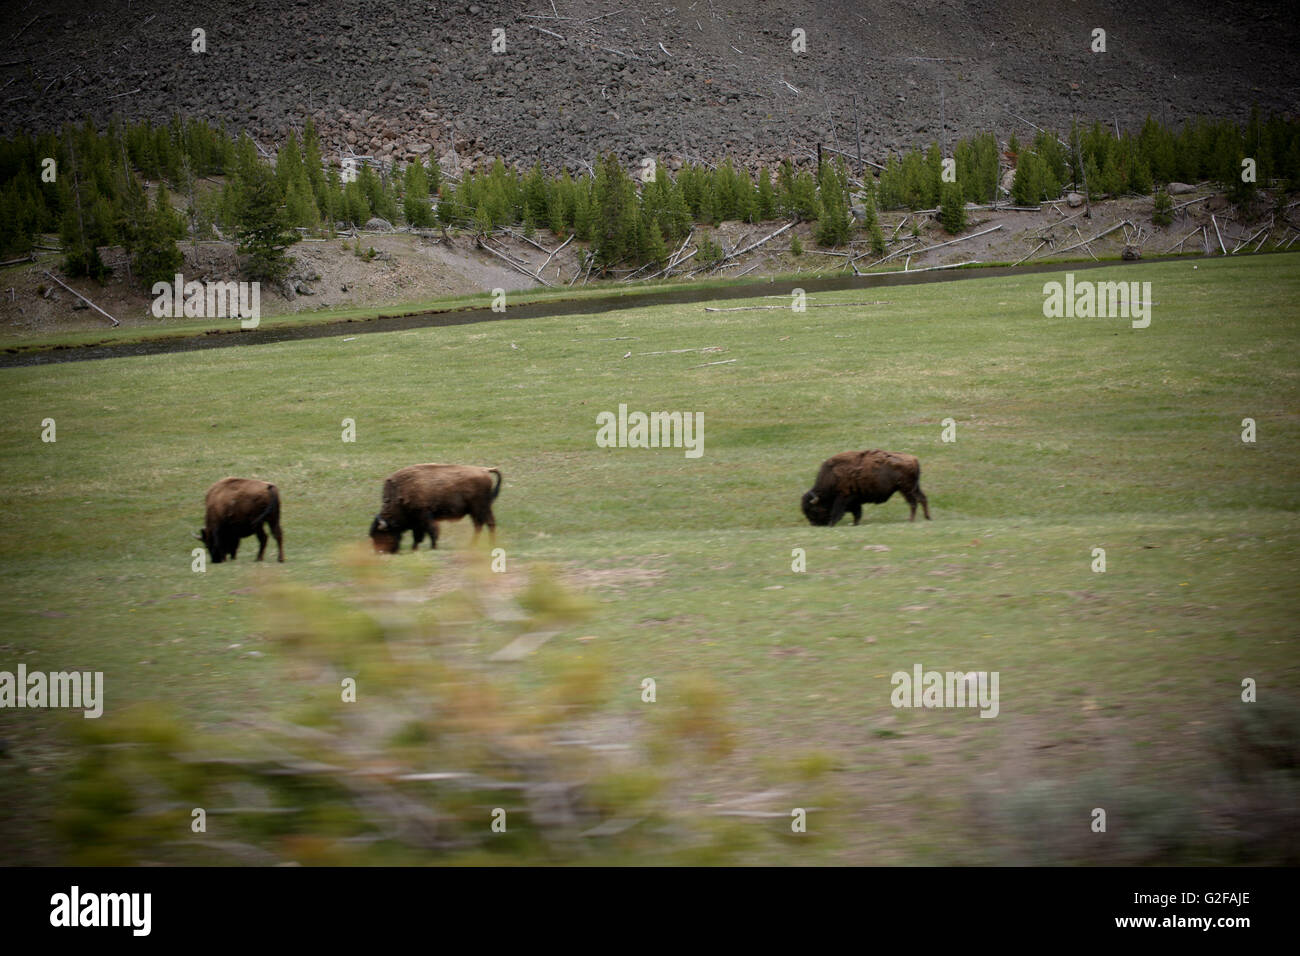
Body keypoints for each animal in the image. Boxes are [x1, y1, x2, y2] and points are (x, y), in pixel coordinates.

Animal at [369, 463, 502, 552]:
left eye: (382, 534)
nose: (379, 552)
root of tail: (485, 470)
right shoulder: (418, 521)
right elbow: (420, 535)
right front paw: (415, 548)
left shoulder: (424, 516)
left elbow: (430, 532)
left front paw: (433, 547)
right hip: (479, 510)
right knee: (486, 524)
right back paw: (485, 545)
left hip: (479, 508)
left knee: (483, 524)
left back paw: (480, 545)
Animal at [801, 450, 931, 525]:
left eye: (814, 510)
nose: (814, 524)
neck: (831, 476)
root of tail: (914, 459)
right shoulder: (855, 501)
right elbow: (857, 513)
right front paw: (855, 523)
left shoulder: (843, 497)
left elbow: (837, 512)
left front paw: (832, 524)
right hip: (913, 487)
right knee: (922, 499)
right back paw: (927, 518)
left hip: (906, 489)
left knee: (913, 503)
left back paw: (911, 520)